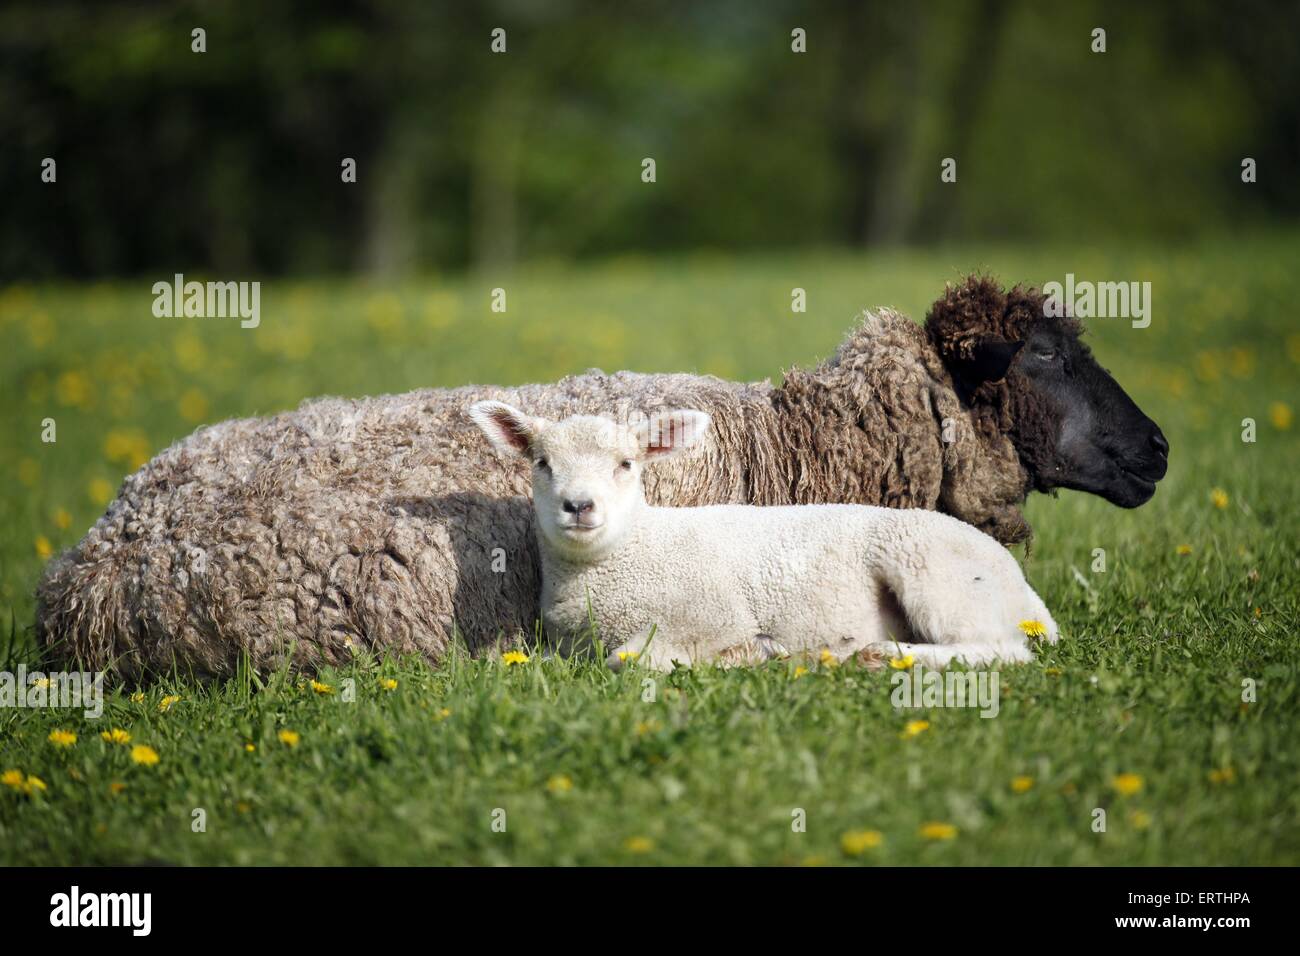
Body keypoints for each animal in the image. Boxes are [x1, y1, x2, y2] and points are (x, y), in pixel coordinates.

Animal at [469, 401, 1059, 670]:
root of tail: (1027, 596)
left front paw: (751, 654)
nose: (578, 506)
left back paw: (879, 654)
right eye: (542, 463)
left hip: (936, 572)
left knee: (999, 650)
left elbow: (629, 660)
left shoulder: (709, 616)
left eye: (627, 464)